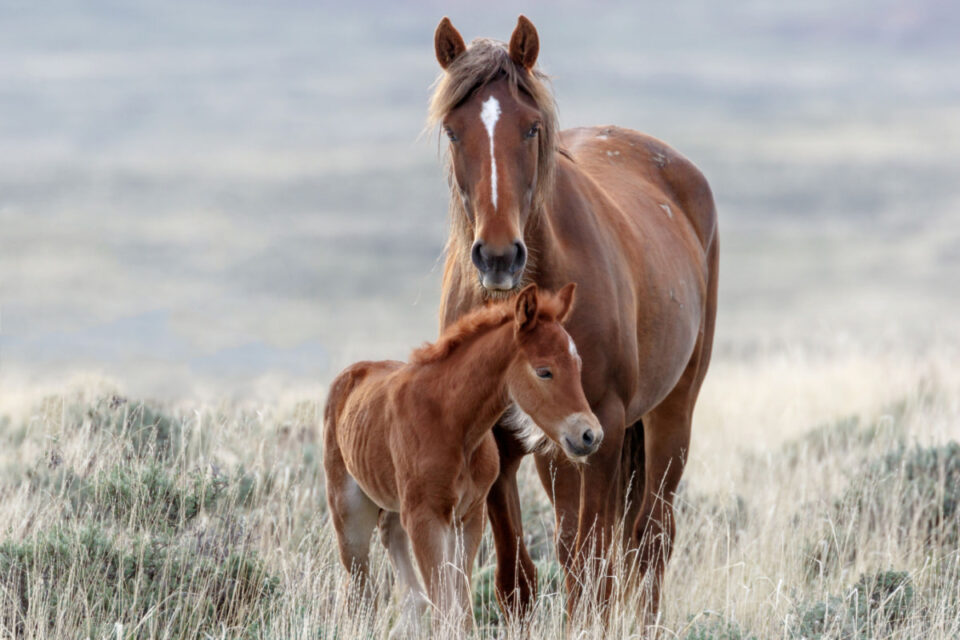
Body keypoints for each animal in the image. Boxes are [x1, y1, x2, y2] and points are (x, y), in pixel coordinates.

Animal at [323, 283, 603, 634]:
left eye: (577, 366)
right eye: (544, 371)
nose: (590, 435)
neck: (453, 423)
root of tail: (349, 374)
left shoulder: (468, 518)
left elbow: (462, 610)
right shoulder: (425, 518)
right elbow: (445, 608)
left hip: (395, 504)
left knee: (394, 551)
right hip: (349, 513)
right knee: (359, 587)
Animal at [429, 15, 719, 623]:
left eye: (532, 128)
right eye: (452, 130)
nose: (497, 257)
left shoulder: (602, 425)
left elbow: (592, 565)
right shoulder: (500, 435)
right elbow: (518, 577)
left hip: (668, 417)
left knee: (648, 539)